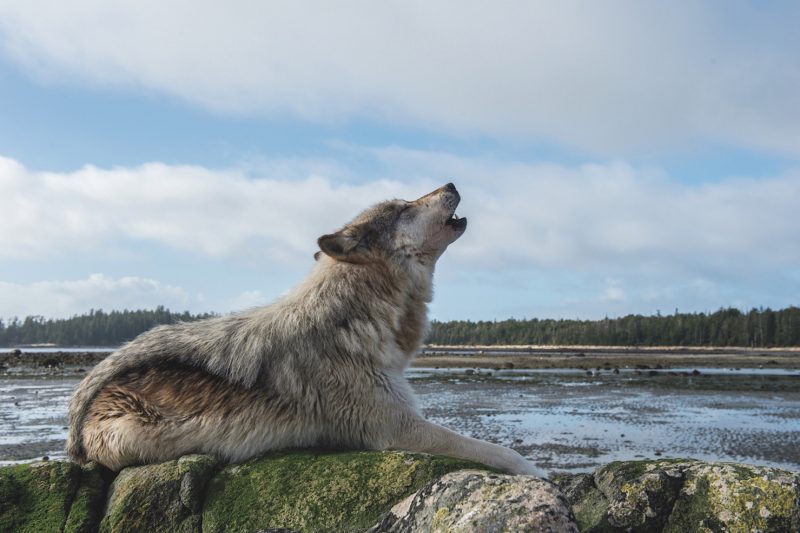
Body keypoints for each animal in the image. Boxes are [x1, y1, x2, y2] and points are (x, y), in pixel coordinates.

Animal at [66, 183, 543, 476]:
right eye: (404, 207)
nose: (451, 183)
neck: (355, 316)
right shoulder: (397, 428)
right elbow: (498, 450)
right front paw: (536, 471)